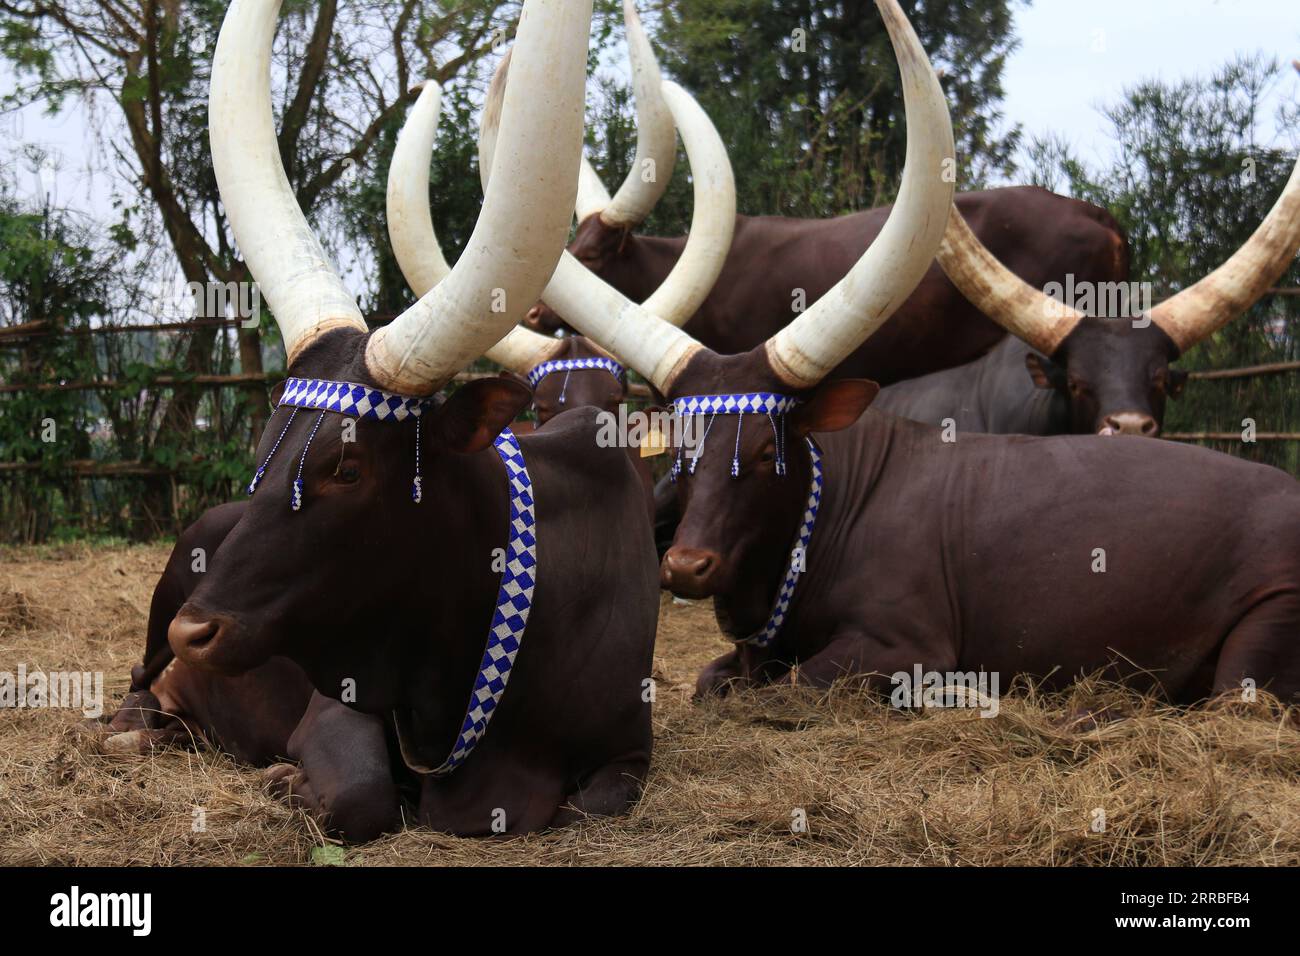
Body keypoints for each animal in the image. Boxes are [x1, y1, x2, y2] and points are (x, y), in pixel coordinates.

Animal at [100, 0, 662, 841]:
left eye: (347, 466)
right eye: (267, 449)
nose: (194, 635)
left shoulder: (632, 750)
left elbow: (593, 801)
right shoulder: (341, 704)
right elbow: (362, 797)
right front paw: (283, 782)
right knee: (135, 693)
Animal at [517, 0, 1300, 708]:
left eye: (770, 452)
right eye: (681, 451)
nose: (686, 565)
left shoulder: (901, 645)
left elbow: (792, 691)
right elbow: (717, 682)